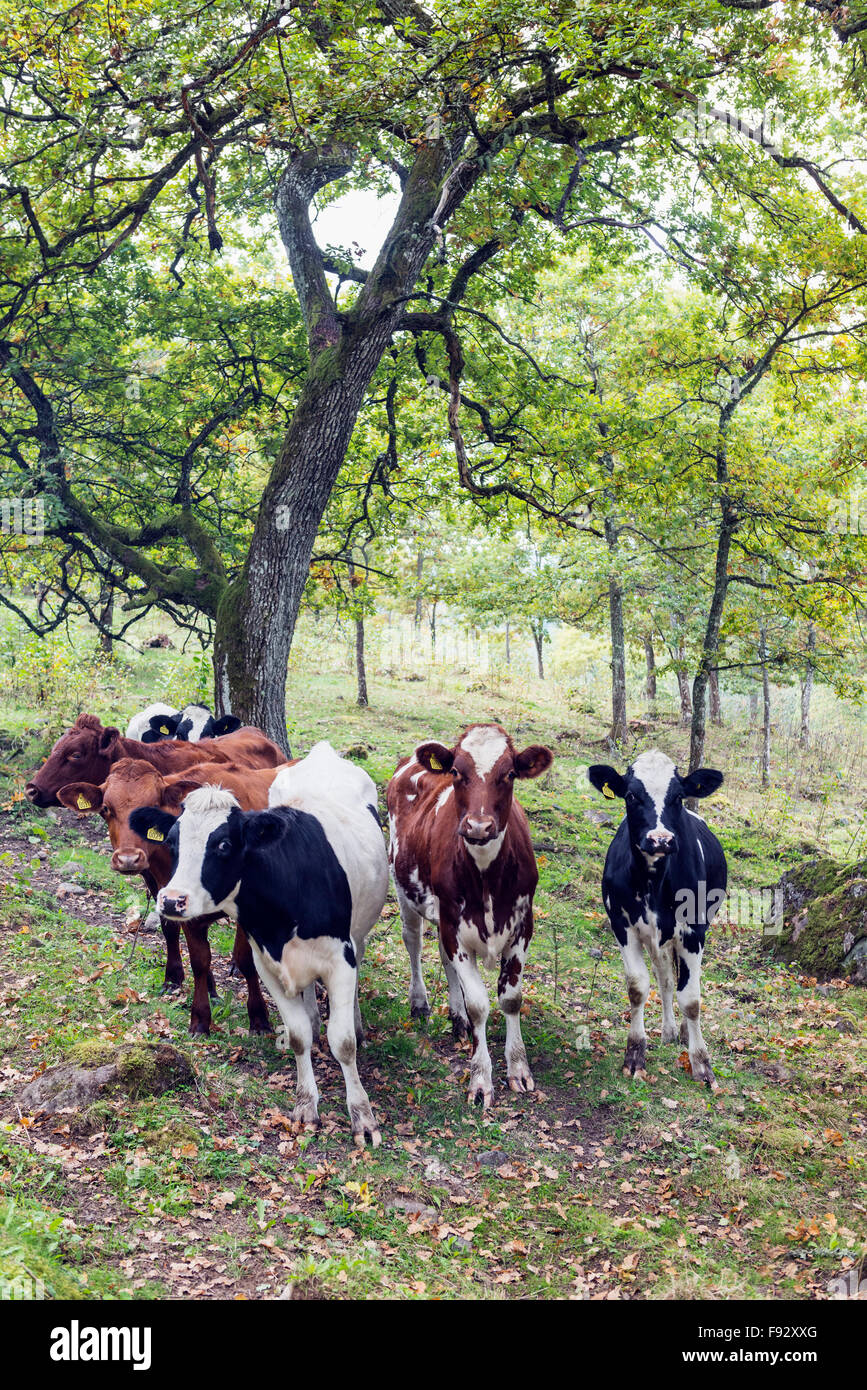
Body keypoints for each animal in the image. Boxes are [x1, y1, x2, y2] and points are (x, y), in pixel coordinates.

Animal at [56, 758, 291, 1034]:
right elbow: (198, 958)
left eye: (152, 806)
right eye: (106, 808)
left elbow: (247, 961)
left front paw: (259, 1018)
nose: (128, 858)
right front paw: (200, 1015)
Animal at [129, 743, 388, 1147]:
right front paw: (305, 1106)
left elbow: (343, 1042)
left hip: (358, 932)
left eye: (223, 844)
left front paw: (363, 1119)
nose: (171, 901)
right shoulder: (267, 962)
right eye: (171, 842)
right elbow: (298, 1035)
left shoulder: (340, 959)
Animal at [387, 724, 554, 1109]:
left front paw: (518, 1067)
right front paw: (480, 1078)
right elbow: (479, 1003)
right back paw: (421, 1003)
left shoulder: (522, 926)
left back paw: (456, 1017)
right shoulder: (454, 925)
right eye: (456, 772)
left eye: (509, 774)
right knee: (414, 944)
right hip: (405, 891)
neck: (487, 877)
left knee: (445, 961)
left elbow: (511, 998)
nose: (478, 827)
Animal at [588, 750, 727, 1088]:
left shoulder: (693, 932)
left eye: (678, 796)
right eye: (631, 795)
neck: (652, 879)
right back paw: (669, 1031)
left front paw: (701, 1063)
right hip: (655, 939)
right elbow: (639, 987)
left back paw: (686, 1033)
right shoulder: (623, 925)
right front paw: (635, 1055)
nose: (660, 839)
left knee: (681, 983)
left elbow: (691, 998)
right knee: (665, 979)